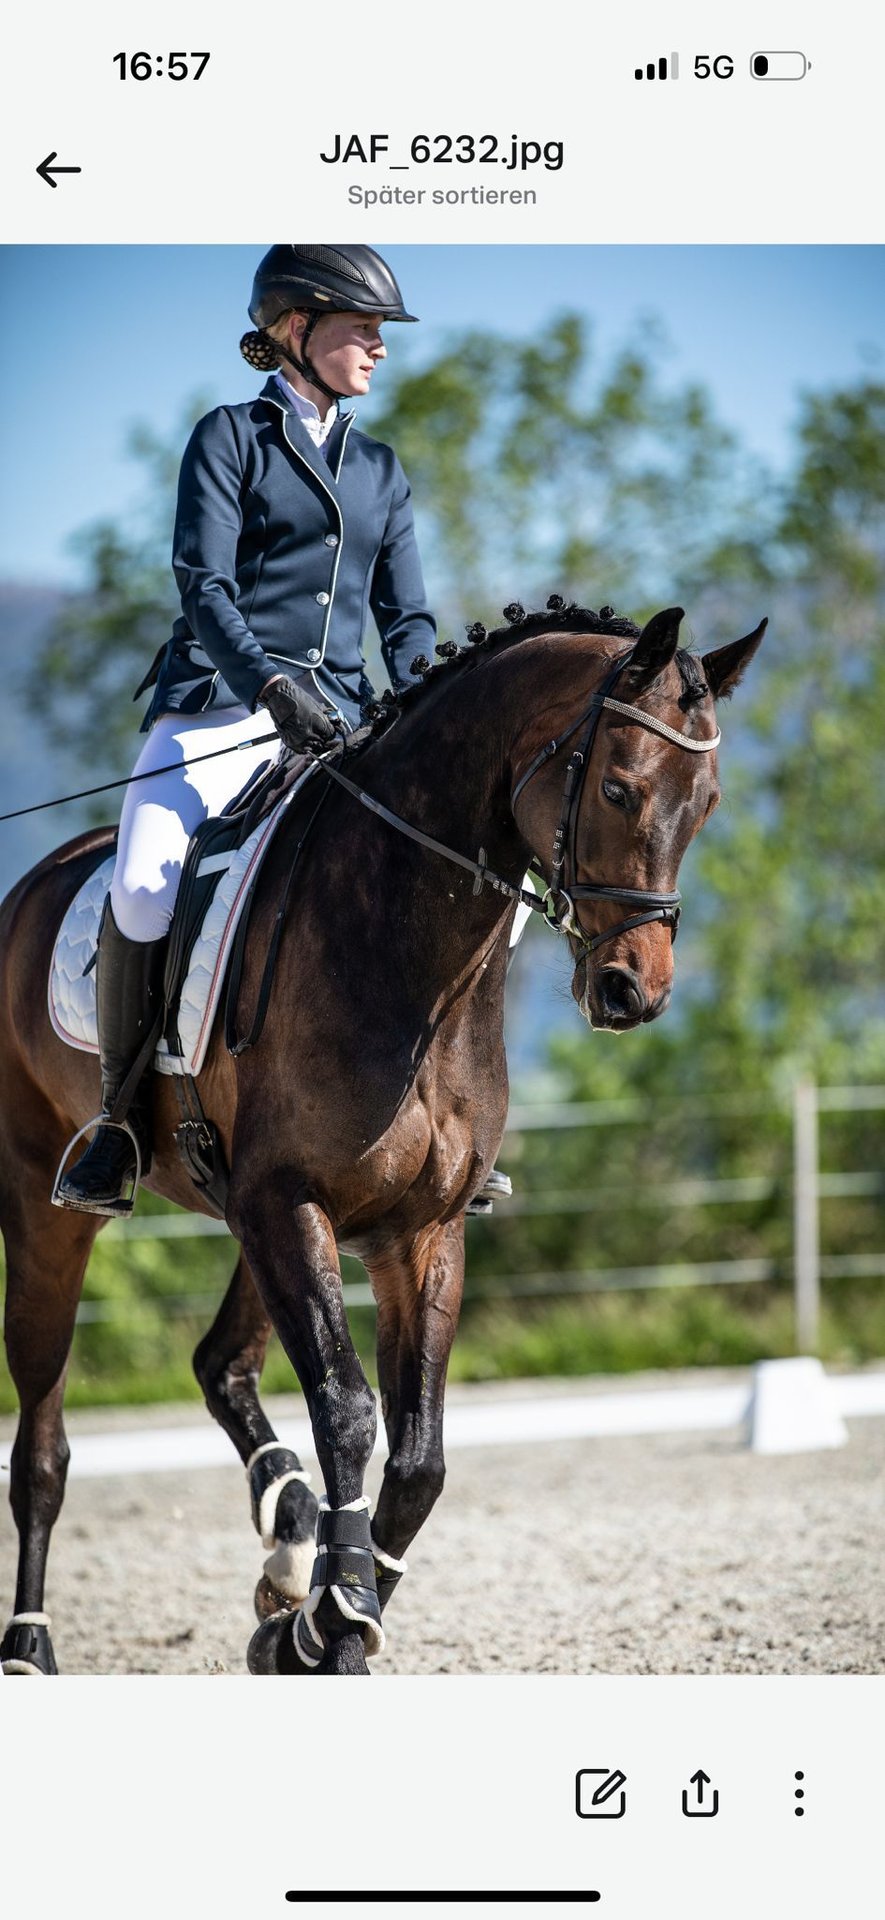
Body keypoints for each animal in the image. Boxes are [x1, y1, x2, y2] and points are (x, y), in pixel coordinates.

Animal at [0, 600, 765, 1676]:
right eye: (617, 786)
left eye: (705, 803)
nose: (632, 992)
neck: (406, 952)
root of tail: (38, 881)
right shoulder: (290, 1203)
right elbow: (350, 1410)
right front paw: (338, 1614)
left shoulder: (419, 1230)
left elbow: (420, 1458)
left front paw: (311, 1624)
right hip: (52, 1212)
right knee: (42, 1434)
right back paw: (32, 1640)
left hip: (248, 1218)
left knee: (220, 1364)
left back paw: (288, 1531)